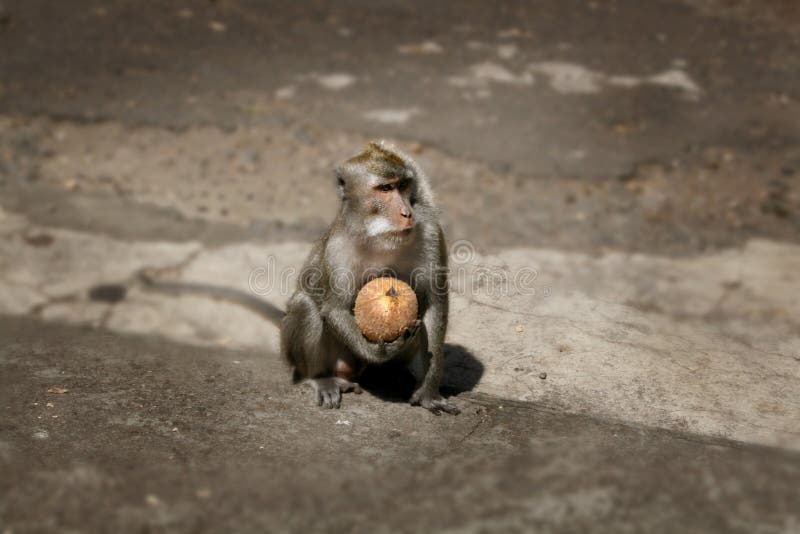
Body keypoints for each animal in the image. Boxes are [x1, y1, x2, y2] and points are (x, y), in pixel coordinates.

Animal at [142, 141, 459, 415]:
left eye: (403, 186)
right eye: (385, 188)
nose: (406, 212)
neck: (380, 237)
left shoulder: (430, 231)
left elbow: (434, 303)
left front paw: (428, 391)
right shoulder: (337, 249)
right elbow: (334, 307)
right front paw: (381, 351)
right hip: (307, 352)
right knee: (307, 307)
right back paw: (322, 378)